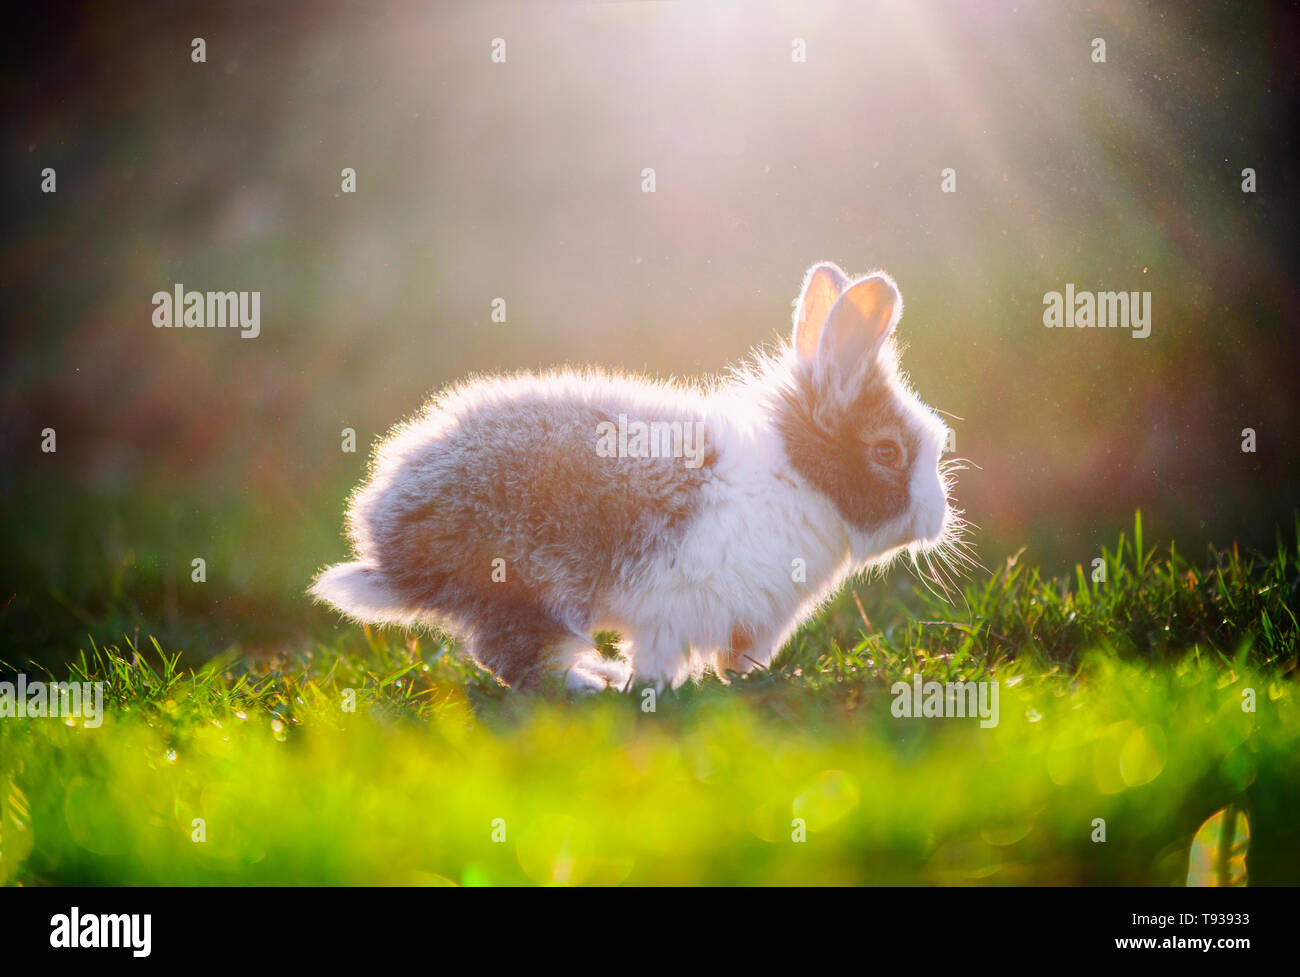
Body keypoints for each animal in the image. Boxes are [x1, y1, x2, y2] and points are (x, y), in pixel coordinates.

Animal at [310, 261, 968, 692]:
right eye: (887, 451)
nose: (939, 518)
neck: (797, 478)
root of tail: (388, 547)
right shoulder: (674, 605)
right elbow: (662, 653)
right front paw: (656, 688)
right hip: (526, 591)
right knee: (515, 660)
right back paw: (593, 685)